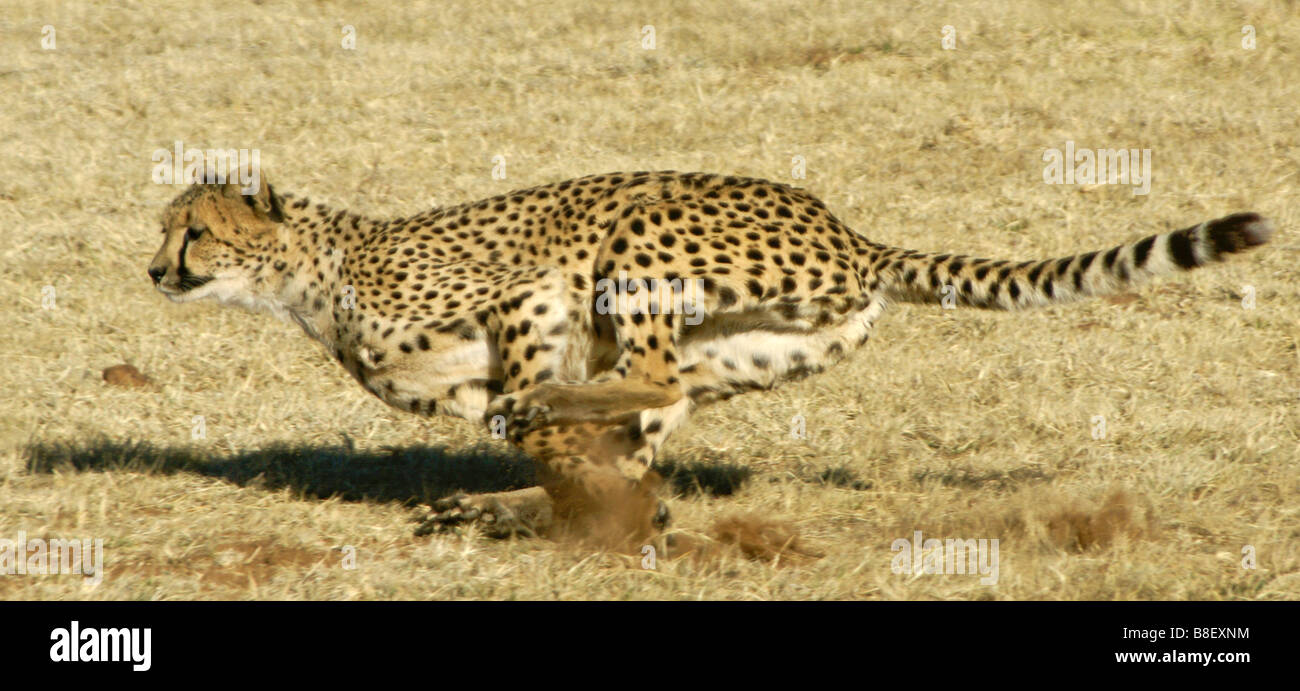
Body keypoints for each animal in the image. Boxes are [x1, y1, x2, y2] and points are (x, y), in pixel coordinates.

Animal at [147, 169, 1273, 546]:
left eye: (194, 231)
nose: (155, 268)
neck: (310, 269)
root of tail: (851, 232)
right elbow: (580, 457)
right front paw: (537, 503)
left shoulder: (529, 295)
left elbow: (530, 394)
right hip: (749, 349)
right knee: (643, 418)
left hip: (639, 238)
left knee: (625, 379)